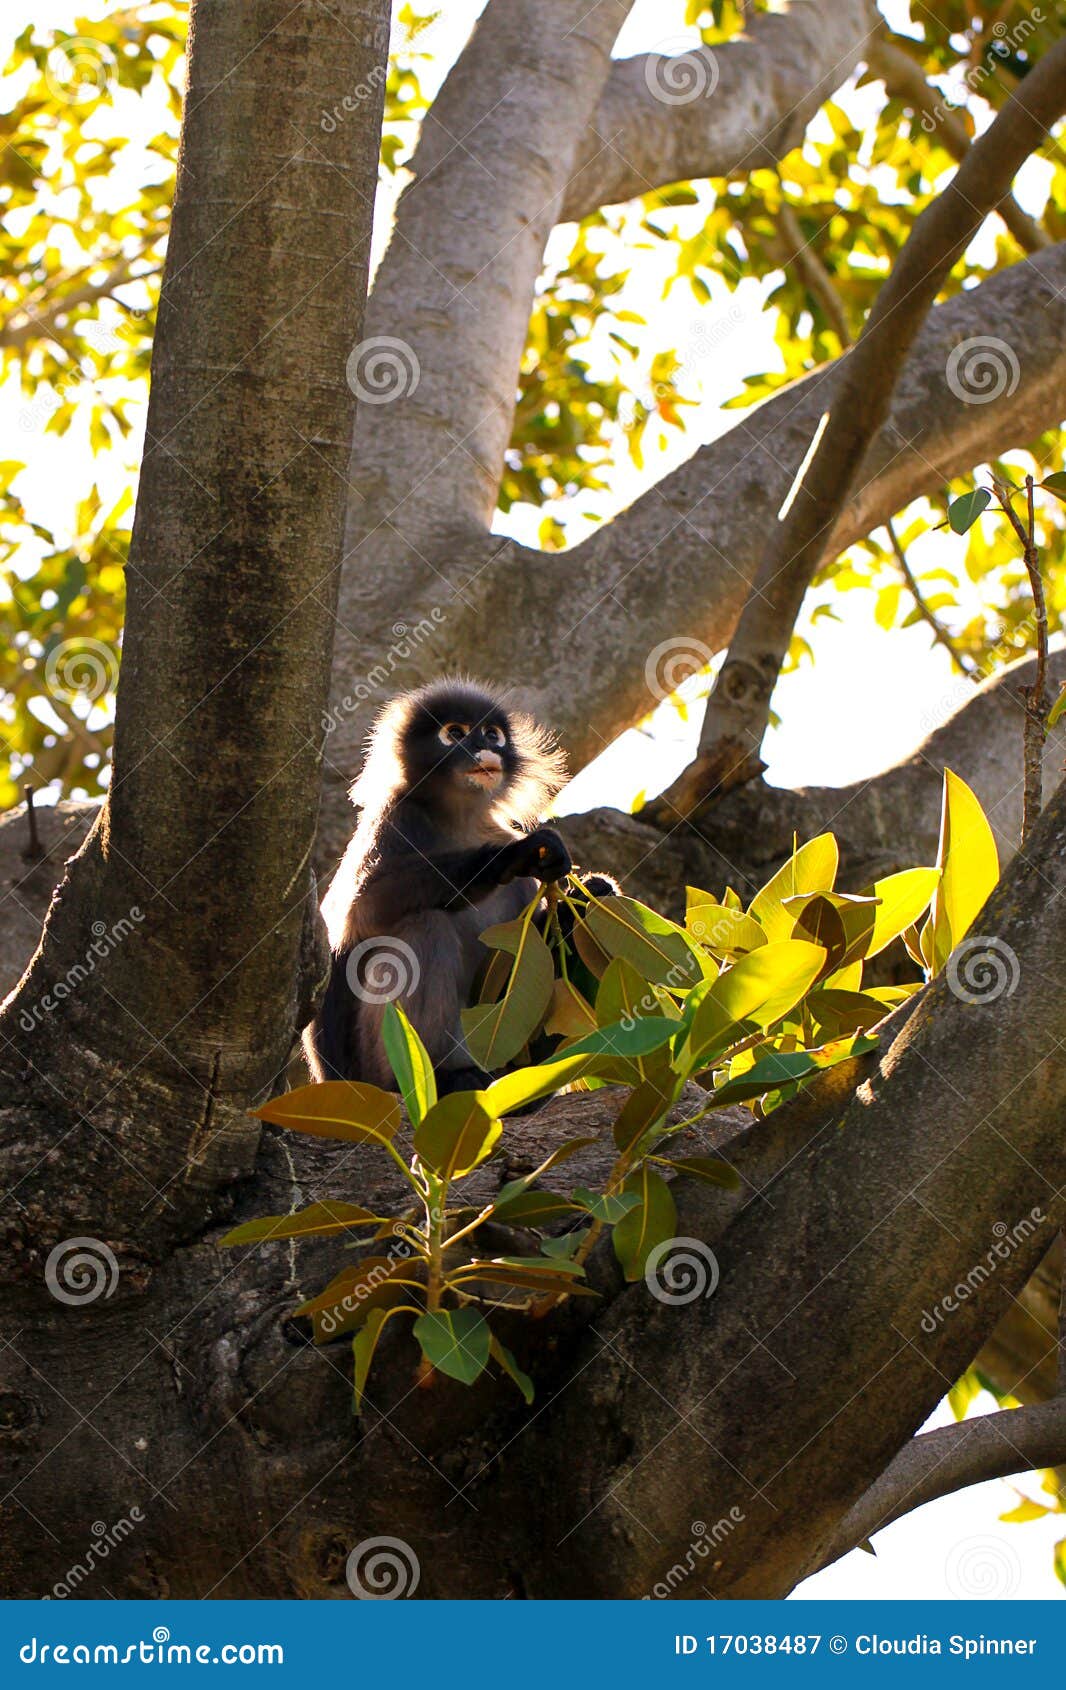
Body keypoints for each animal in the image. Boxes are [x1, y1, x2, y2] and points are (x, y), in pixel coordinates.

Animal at [306, 678, 576, 1095]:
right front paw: (509, 857)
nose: (484, 748)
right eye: (456, 733)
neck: (458, 821)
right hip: (369, 1065)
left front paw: (583, 900)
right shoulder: (396, 817)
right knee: (425, 925)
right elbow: (359, 913)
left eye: (492, 734)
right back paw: (443, 1076)